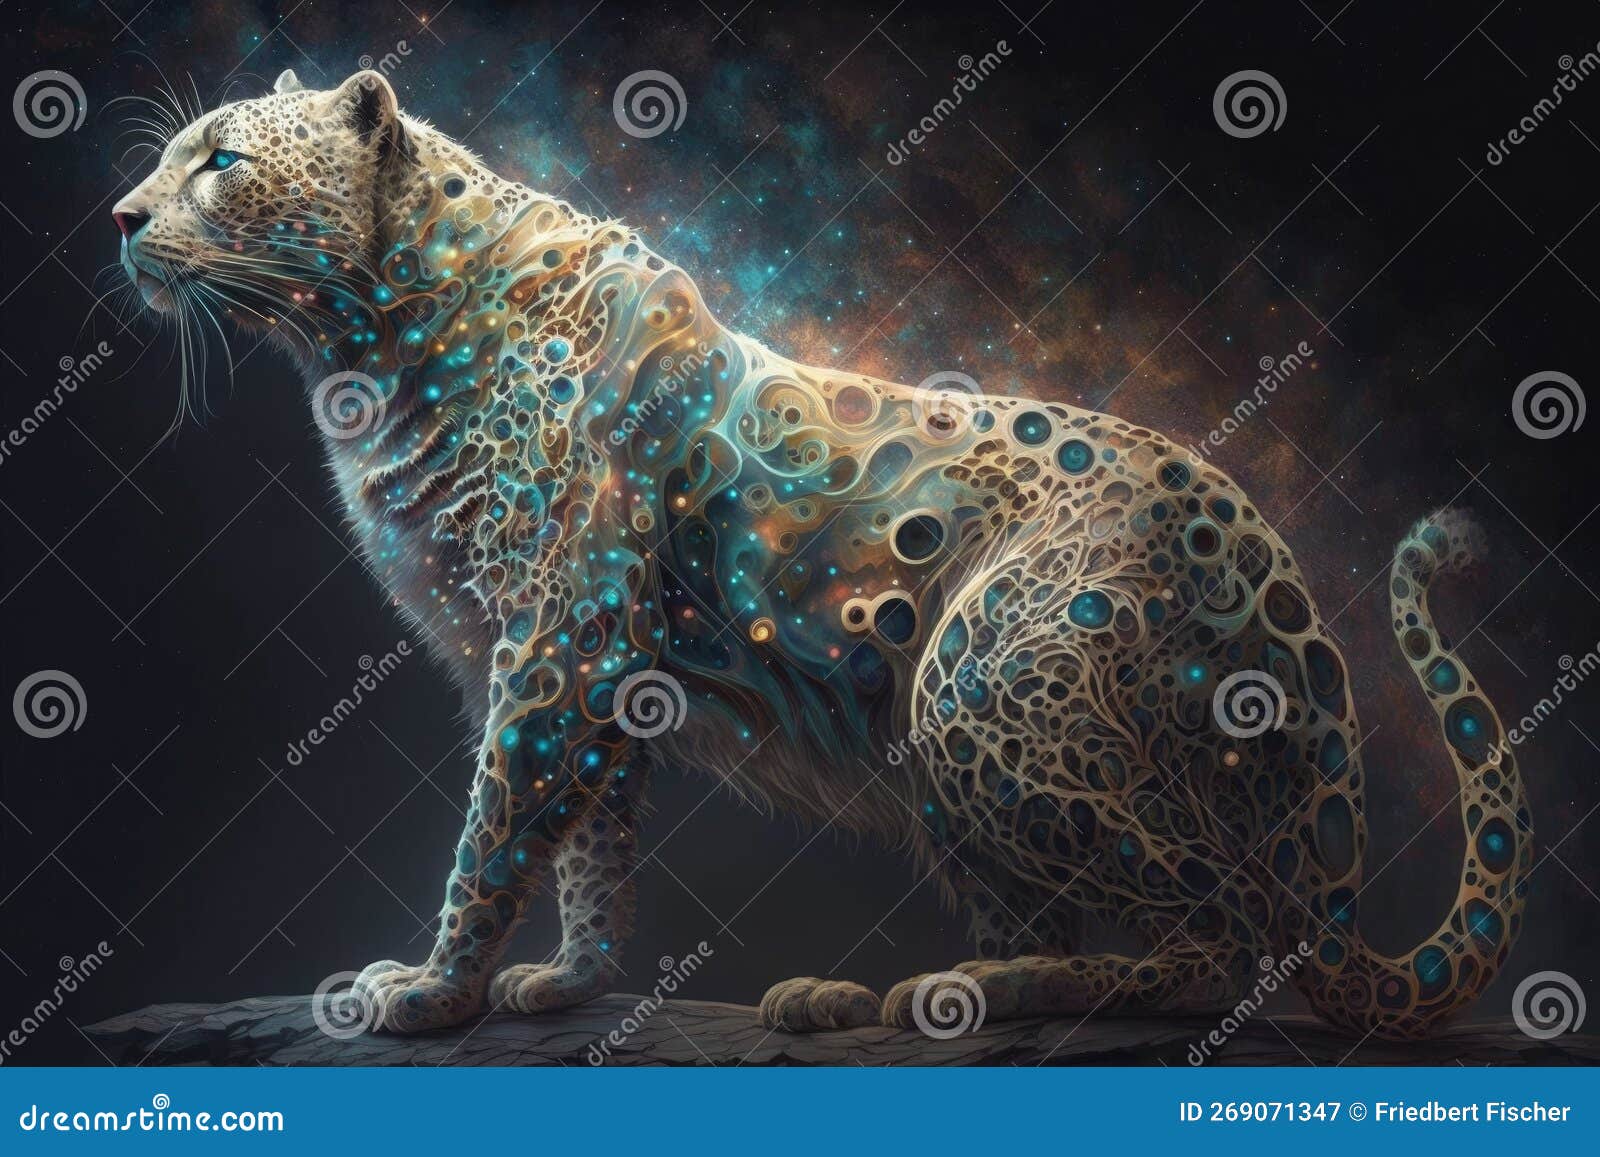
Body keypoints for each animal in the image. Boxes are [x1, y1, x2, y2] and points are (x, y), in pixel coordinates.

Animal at [112, 68, 1531, 1040]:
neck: (365, 341)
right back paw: (859, 992)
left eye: (218, 162)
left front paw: (429, 984)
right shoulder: (589, 660)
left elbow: (498, 827)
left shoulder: (553, 642)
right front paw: (569, 976)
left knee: (1216, 934)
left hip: (977, 688)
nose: (120, 215)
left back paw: (959, 988)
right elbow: (590, 835)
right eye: (168, 158)